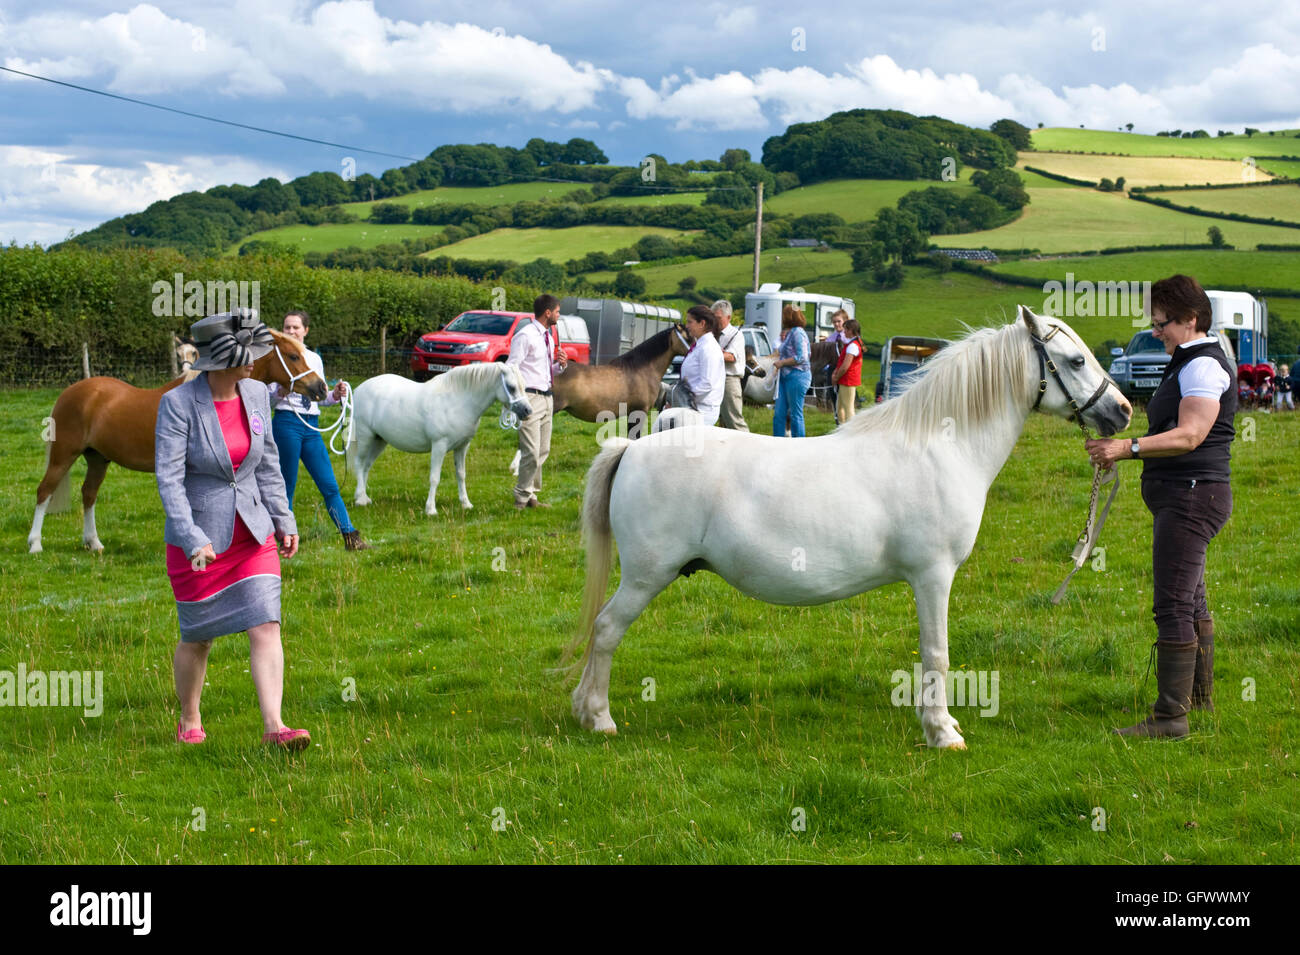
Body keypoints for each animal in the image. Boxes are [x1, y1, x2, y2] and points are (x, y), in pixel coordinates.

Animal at [28, 330, 327, 554]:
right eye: (293, 356)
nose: (321, 387)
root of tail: (70, 392)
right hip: (64, 454)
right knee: (44, 492)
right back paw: (35, 544)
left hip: (98, 459)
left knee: (88, 494)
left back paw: (93, 543)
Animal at [348, 362, 533, 515]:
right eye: (511, 387)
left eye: (524, 386)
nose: (527, 411)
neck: (458, 401)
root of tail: (358, 390)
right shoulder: (439, 445)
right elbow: (435, 477)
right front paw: (430, 509)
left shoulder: (462, 446)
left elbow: (461, 474)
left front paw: (466, 504)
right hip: (365, 437)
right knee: (359, 463)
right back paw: (360, 499)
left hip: (379, 440)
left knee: (366, 466)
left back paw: (363, 497)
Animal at [565, 306, 1132, 750]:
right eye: (1076, 361)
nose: (1123, 410)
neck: (940, 447)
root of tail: (631, 447)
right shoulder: (933, 576)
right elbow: (937, 652)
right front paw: (942, 731)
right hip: (646, 577)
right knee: (607, 630)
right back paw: (599, 717)